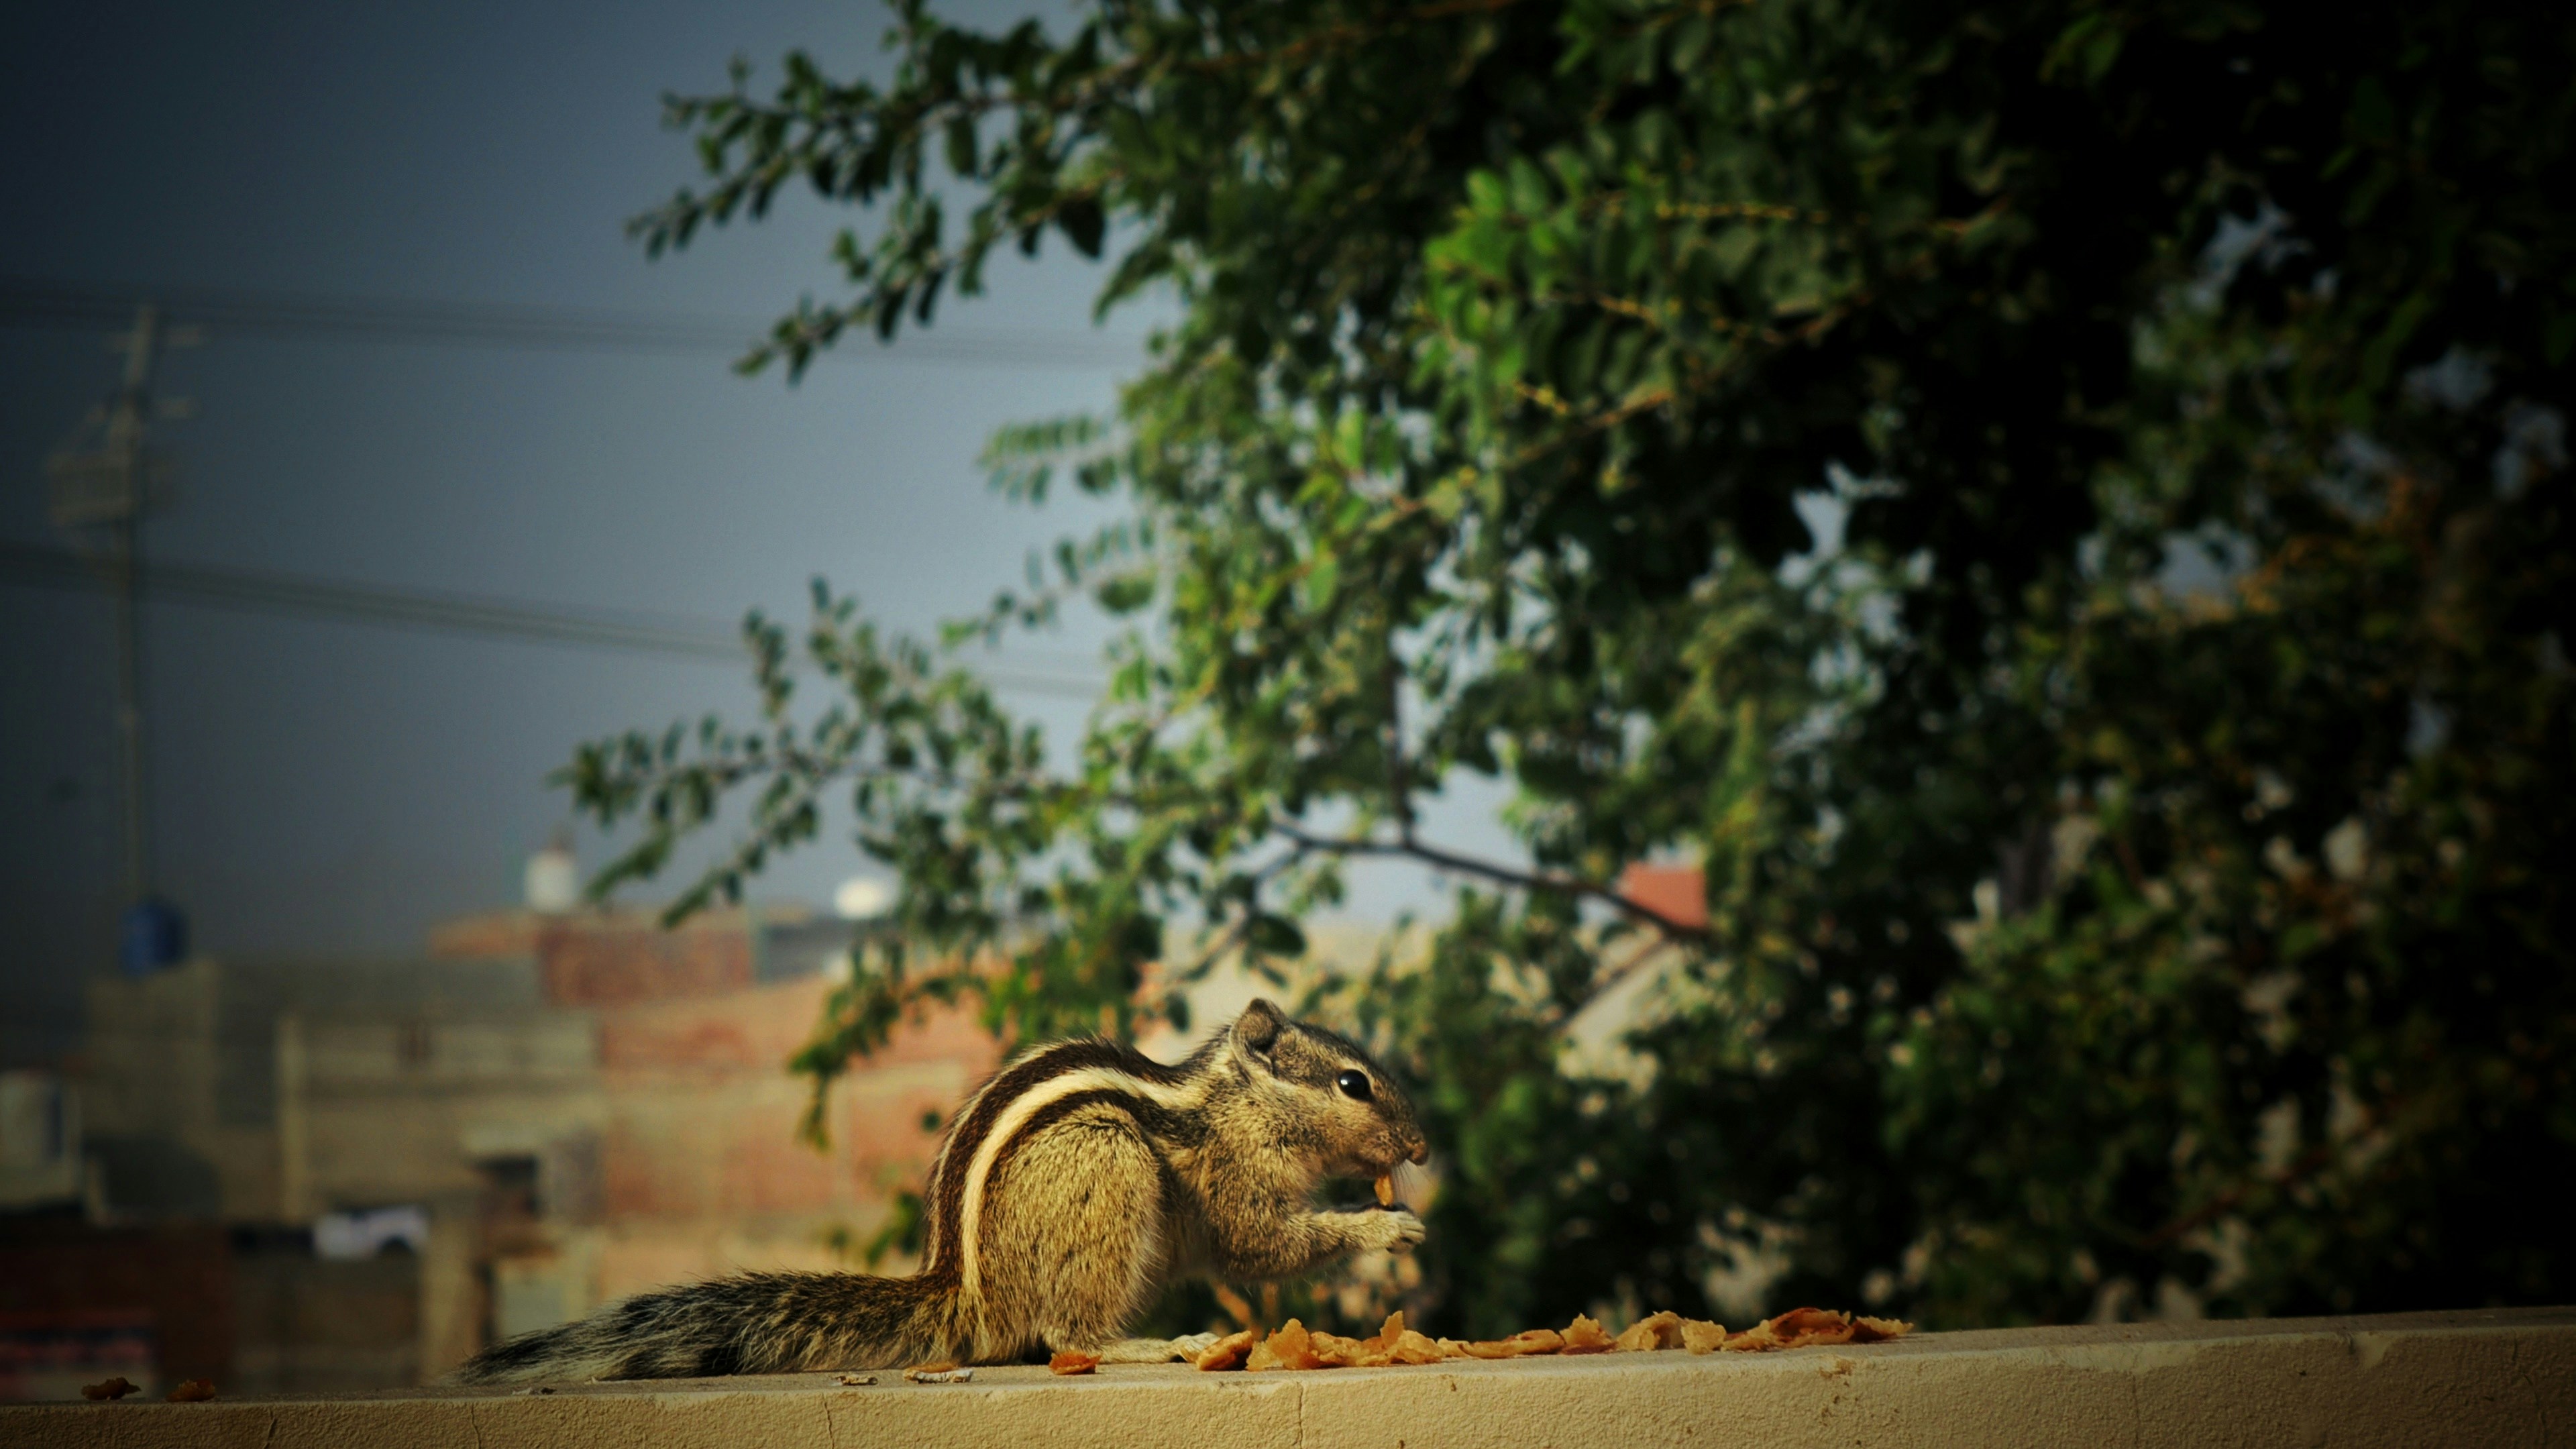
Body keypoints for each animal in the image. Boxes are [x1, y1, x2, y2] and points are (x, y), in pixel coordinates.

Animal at [453, 998, 1429, 1382]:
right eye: (1353, 1085)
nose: (1421, 1144)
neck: (1236, 1103)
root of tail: (967, 1295)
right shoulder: (1236, 1177)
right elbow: (1261, 1244)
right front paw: (1384, 1230)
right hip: (1107, 1166)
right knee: (1068, 1335)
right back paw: (1163, 1344)